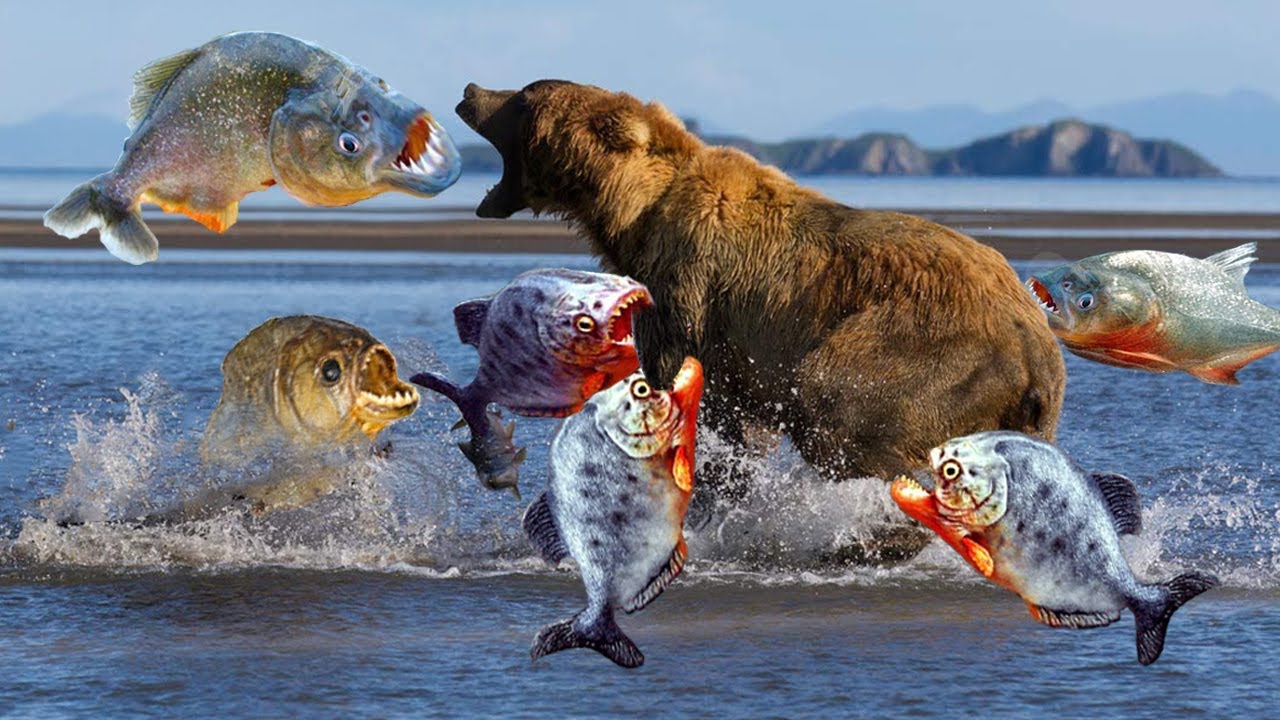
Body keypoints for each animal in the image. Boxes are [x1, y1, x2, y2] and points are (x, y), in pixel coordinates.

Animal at [456, 80, 1066, 496]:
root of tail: (1038, 351)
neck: (631, 213)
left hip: (926, 349)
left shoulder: (688, 289)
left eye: (522, 99)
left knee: (839, 411)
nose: (470, 91)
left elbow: (687, 387)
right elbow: (738, 420)